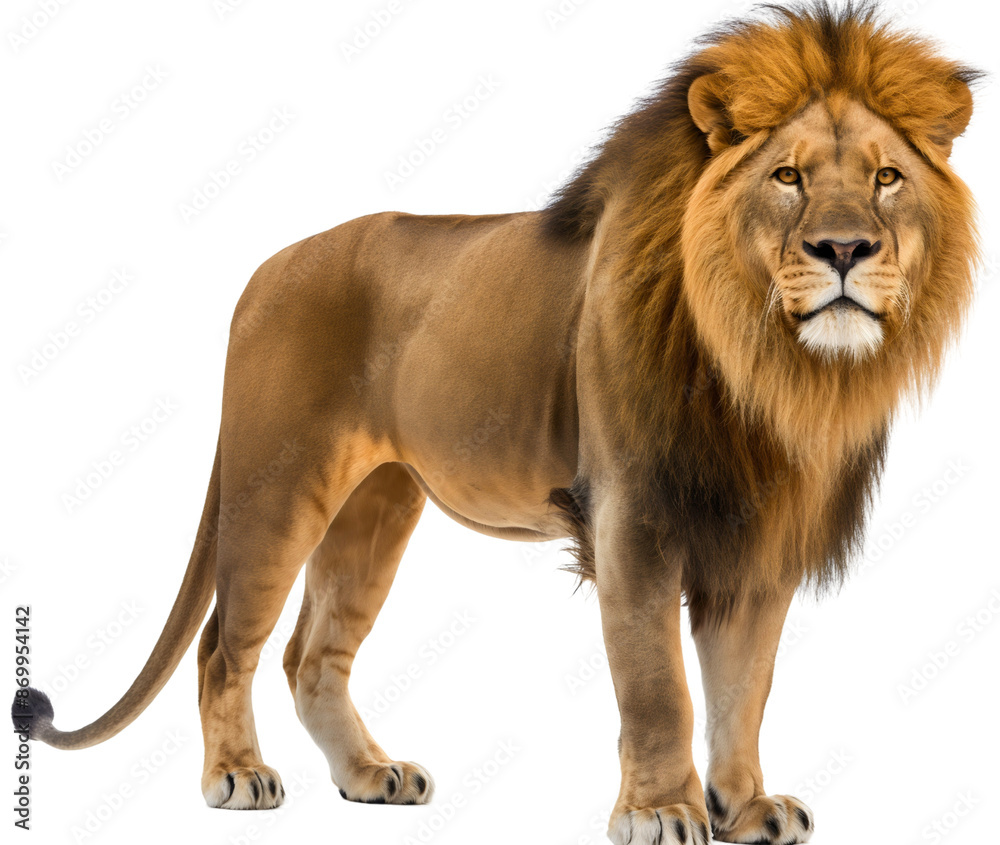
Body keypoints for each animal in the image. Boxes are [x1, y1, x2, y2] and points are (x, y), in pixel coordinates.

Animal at [12, 4, 979, 844]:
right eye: (788, 177)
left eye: (887, 178)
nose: (844, 250)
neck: (764, 361)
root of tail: (264, 269)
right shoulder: (631, 516)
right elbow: (659, 685)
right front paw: (661, 812)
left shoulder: (760, 534)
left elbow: (744, 688)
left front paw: (744, 808)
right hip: (275, 486)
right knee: (224, 644)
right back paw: (237, 775)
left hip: (376, 506)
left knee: (311, 653)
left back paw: (370, 774)